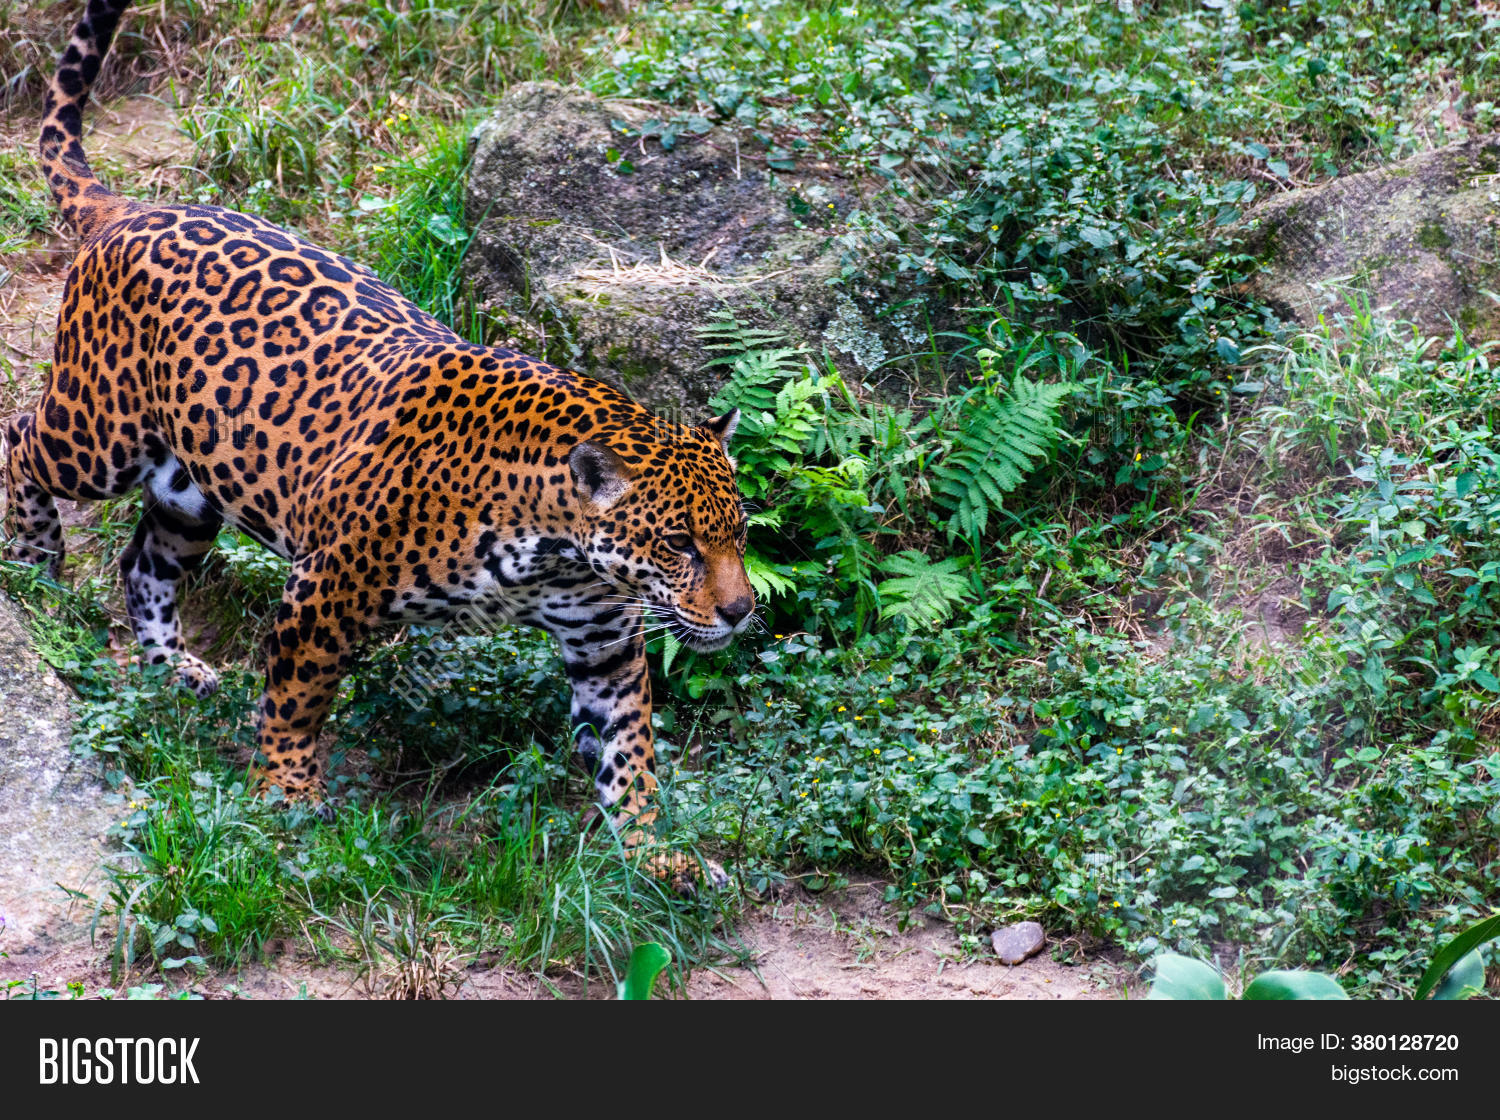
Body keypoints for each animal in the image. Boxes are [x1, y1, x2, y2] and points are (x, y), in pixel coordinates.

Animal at [3, 0, 756, 889]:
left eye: (739, 535)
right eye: (678, 544)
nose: (742, 612)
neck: (554, 547)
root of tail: (127, 209)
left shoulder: (605, 644)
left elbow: (628, 750)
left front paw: (654, 853)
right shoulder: (320, 596)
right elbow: (296, 704)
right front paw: (287, 803)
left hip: (192, 484)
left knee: (144, 562)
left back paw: (173, 667)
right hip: (98, 433)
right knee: (20, 441)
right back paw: (34, 561)